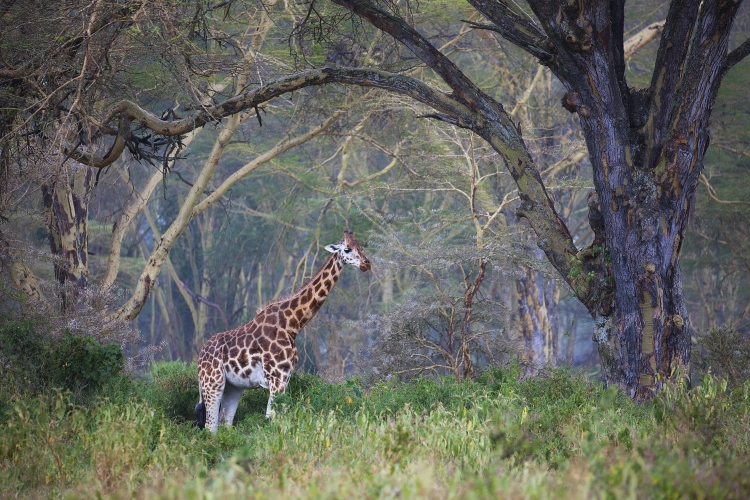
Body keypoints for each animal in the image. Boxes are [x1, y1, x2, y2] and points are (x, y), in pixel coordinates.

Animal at [195, 231, 371, 433]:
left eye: (361, 247)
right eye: (347, 249)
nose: (366, 264)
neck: (292, 325)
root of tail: (199, 356)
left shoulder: (285, 377)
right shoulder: (277, 377)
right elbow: (272, 417)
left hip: (233, 387)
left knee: (225, 424)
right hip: (212, 383)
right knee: (210, 426)